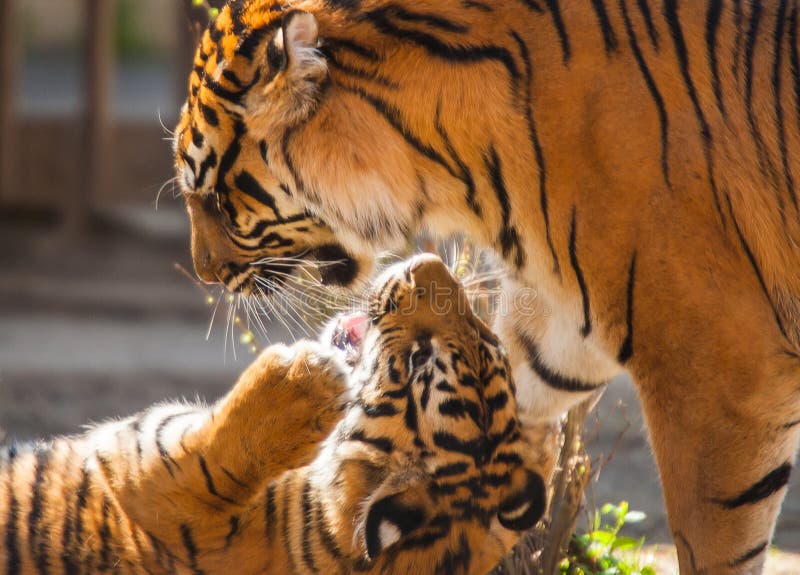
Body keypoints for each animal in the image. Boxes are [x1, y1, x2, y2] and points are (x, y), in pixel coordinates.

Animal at [0, 254, 549, 574]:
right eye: (490, 337)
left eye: (420, 361)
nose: (429, 263)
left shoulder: (150, 479)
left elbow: (218, 460)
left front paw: (307, 381)